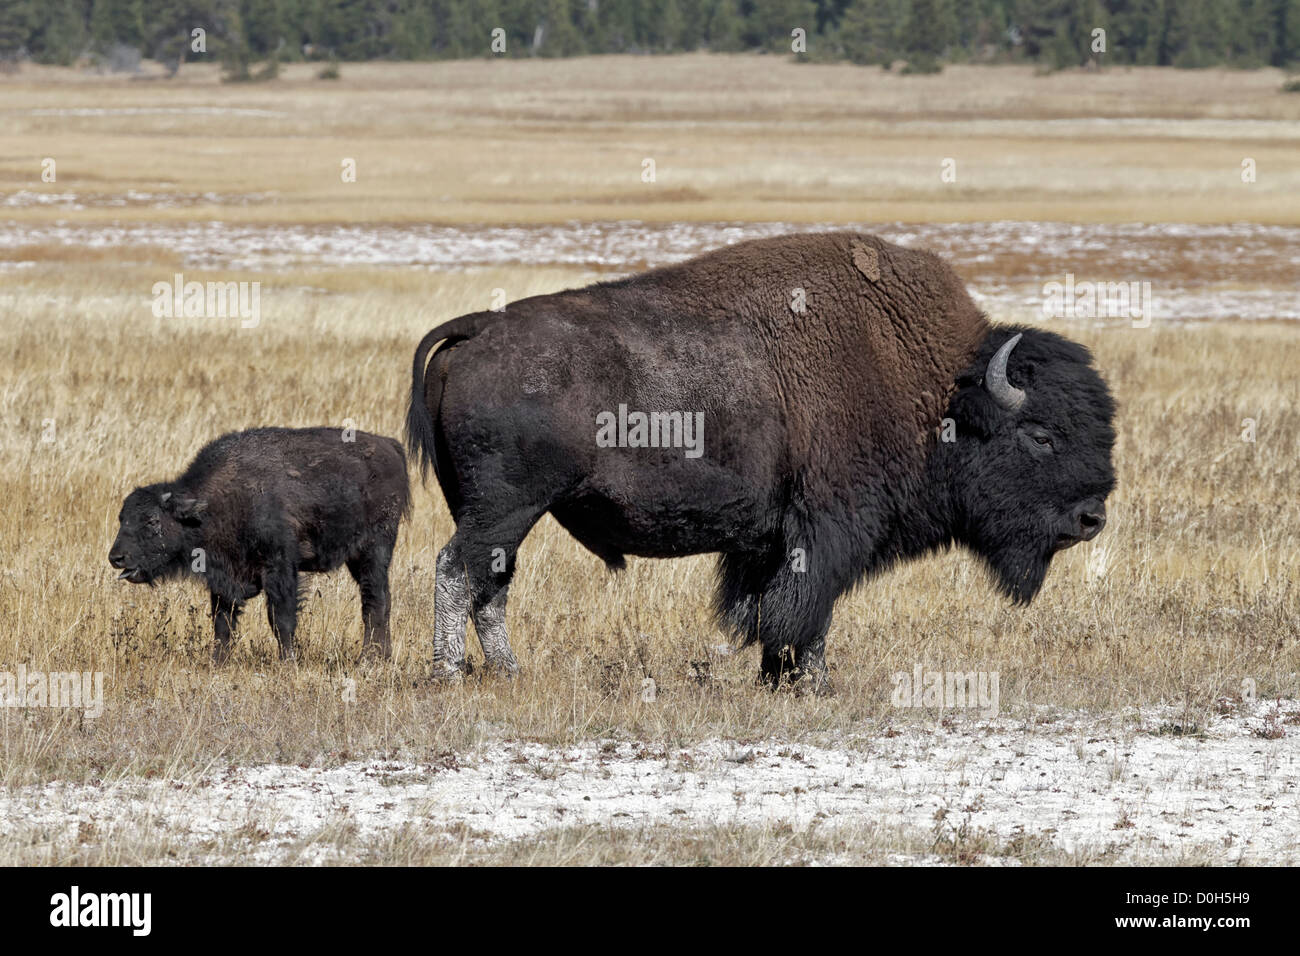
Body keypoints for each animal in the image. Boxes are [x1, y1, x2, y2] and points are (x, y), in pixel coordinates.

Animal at [110, 427, 409, 662]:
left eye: (152, 520)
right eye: (122, 518)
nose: (116, 558)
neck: (208, 505)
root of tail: (391, 447)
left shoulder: (279, 567)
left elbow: (280, 620)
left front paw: (288, 661)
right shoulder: (223, 579)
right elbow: (222, 622)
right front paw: (218, 662)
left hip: (372, 551)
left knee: (374, 600)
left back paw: (368, 658)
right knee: (381, 600)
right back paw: (381, 656)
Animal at [407, 232, 1115, 692]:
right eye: (1041, 436)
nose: (1092, 518)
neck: (939, 389)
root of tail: (478, 328)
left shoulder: (772, 541)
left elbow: (775, 606)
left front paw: (778, 677)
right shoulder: (826, 530)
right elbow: (807, 607)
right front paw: (812, 683)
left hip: (504, 514)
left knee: (491, 582)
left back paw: (508, 674)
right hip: (505, 507)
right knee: (458, 570)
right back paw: (449, 675)